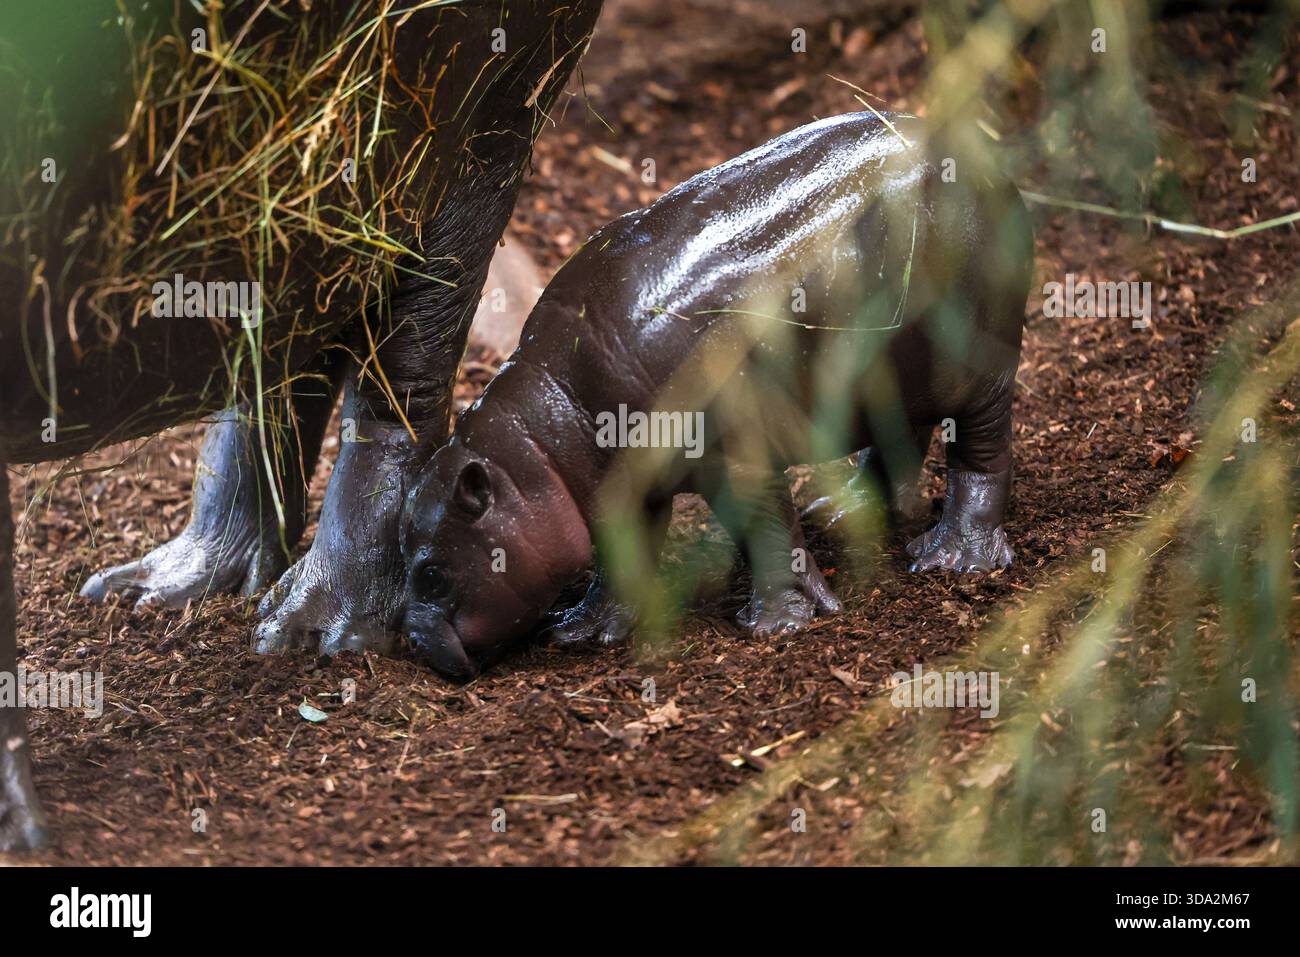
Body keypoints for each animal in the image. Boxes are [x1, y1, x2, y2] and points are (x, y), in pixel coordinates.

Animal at [0, 0, 604, 851]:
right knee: (284, 332)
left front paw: (22, 832)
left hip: (487, 108)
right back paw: (154, 592)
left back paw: (310, 634)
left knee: (403, 369)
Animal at [400, 111, 1034, 680]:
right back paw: (839, 512)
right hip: (895, 370)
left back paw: (951, 558)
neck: (543, 438)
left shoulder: (740, 462)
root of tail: (988, 160)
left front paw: (775, 625)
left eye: (431, 573)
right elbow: (622, 557)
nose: (413, 644)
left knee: (982, 452)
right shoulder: (623, 487)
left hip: (981, 364)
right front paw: (581, 629)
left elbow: (768, 535)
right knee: (902, 430)